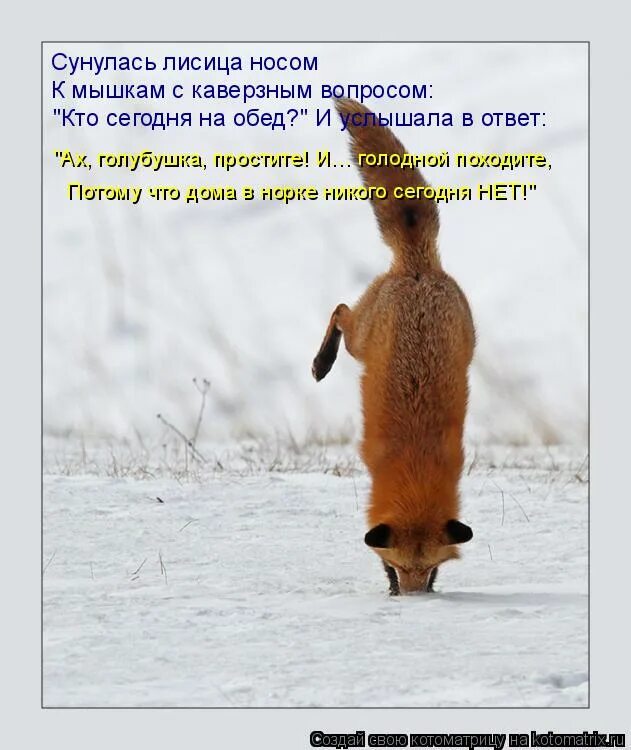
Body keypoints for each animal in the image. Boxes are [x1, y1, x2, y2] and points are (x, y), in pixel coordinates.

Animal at [312, 99, 475, 595]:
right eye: (398, 567)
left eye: (432, 569)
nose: (415, 599)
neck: (416, 462)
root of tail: (419, 269)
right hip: (361, 338)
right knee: (340, 310)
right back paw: (320, 362)